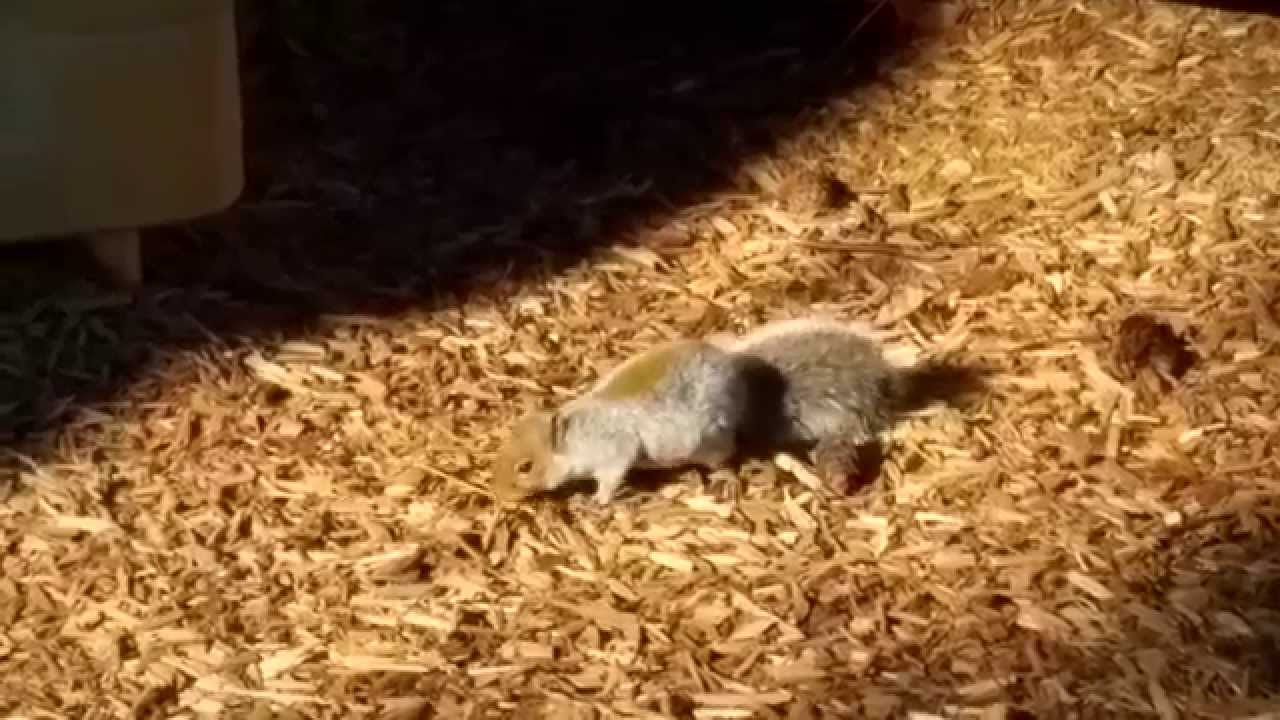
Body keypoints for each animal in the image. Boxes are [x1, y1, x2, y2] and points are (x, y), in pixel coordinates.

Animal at [491, 314, 962, 504]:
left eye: (525, 467)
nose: (503, 497)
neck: (574, 433)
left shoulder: (612, 446)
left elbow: (611, 474)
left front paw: (597, 501)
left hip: (710, 440)